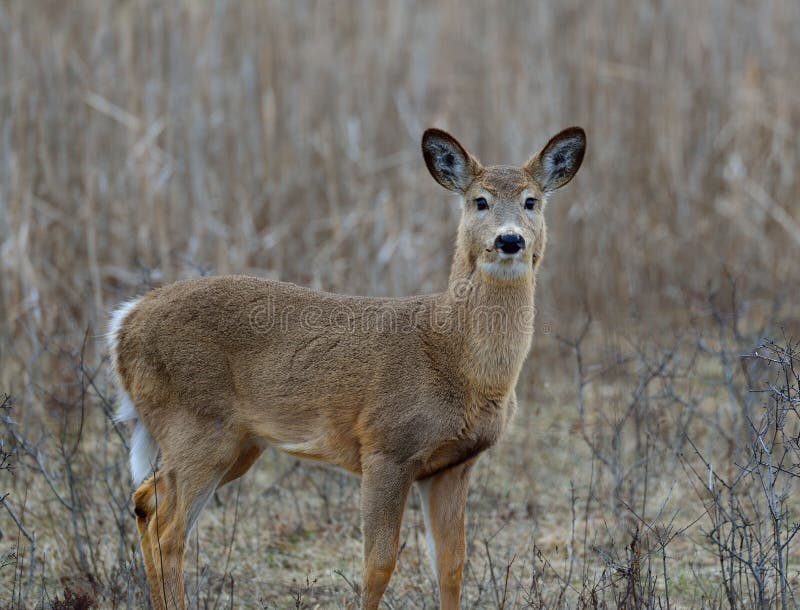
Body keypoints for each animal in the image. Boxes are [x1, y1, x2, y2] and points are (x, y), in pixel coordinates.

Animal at [107, 126, 585, 609]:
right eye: (479, 201)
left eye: (531, 201)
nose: (510, 240)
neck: (453, 357)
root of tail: (125, 321)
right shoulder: (386, 447)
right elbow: (378, 565)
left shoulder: (453, 465)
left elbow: (452, 566)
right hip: (197, 426)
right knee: (169, 530)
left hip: (237, 443)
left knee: (146, 500)